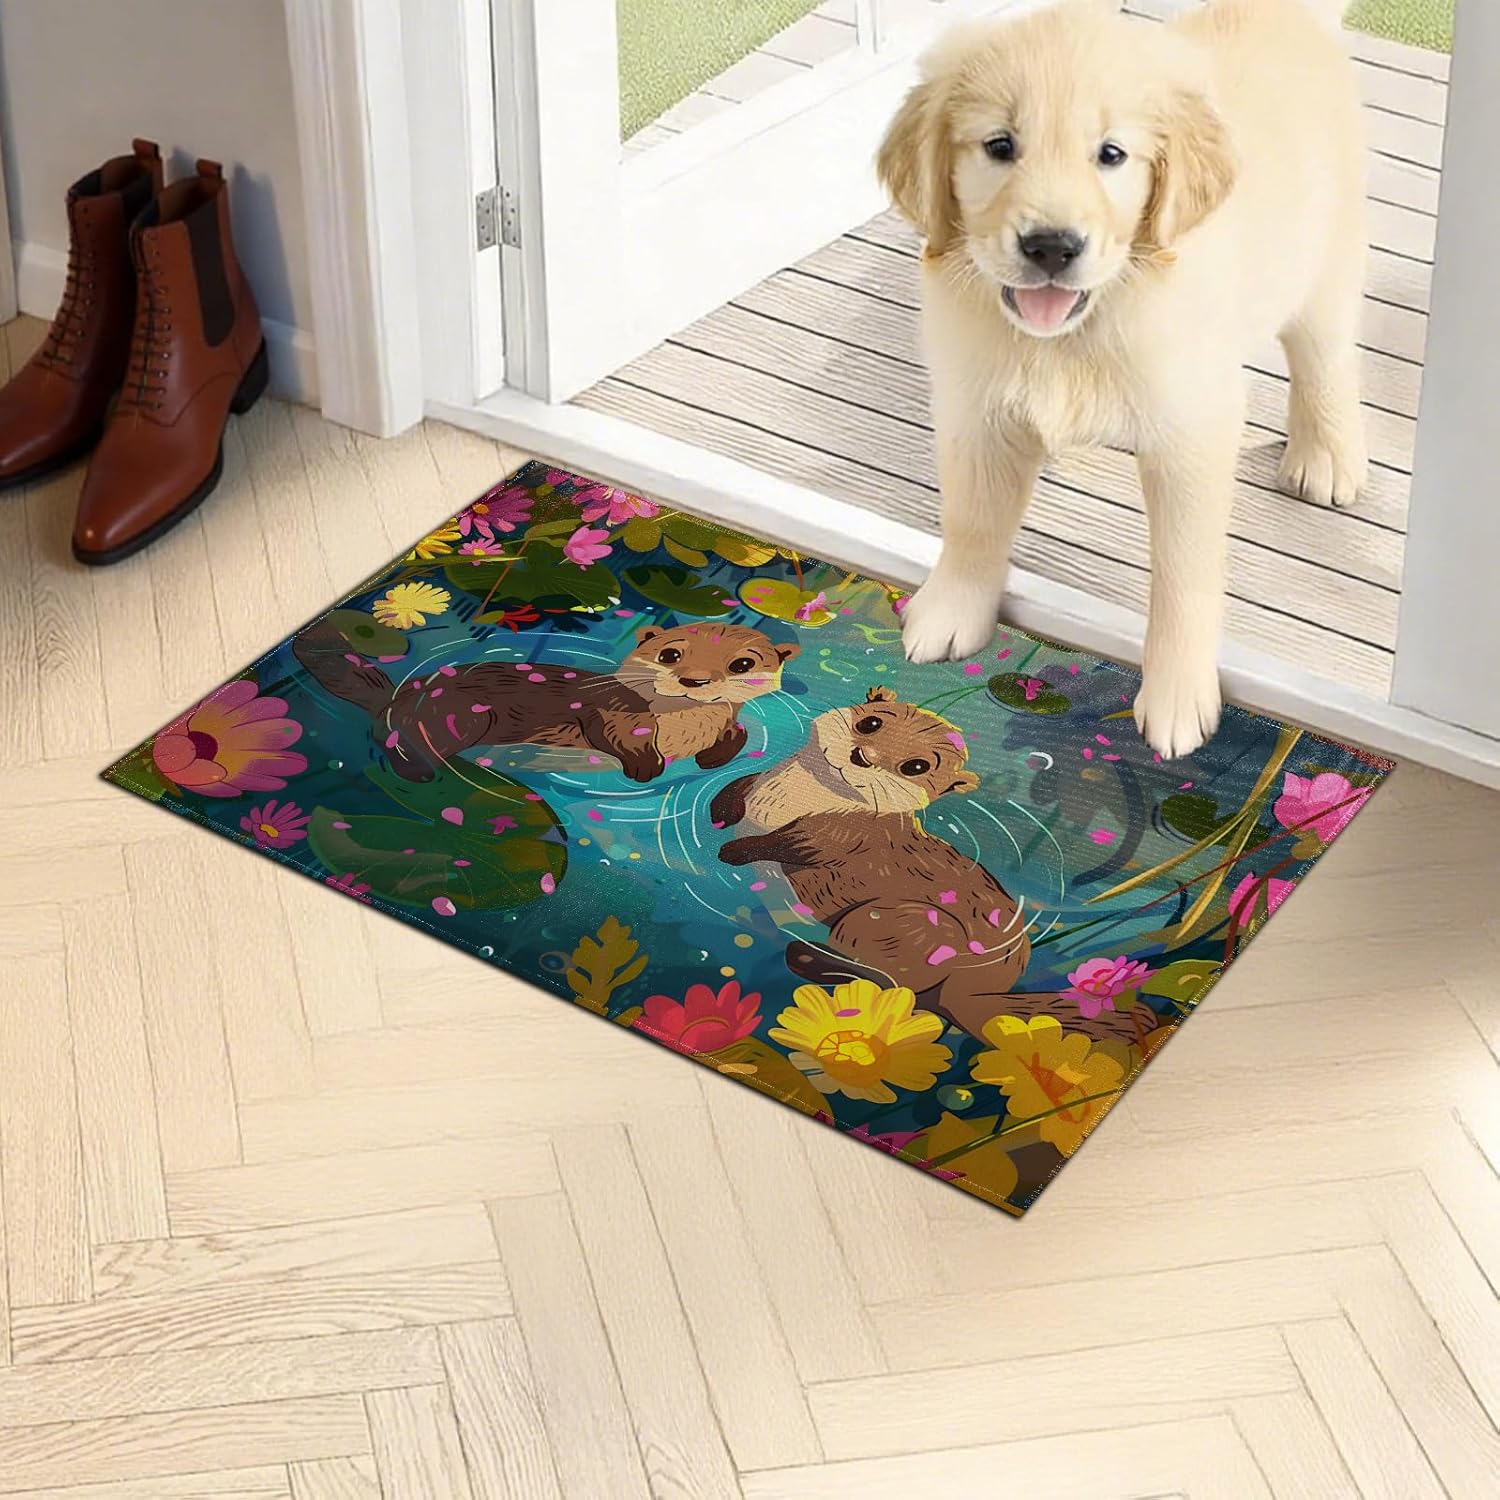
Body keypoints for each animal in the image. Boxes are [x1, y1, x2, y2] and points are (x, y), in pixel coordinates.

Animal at [293, 619, 798, 784]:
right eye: (670, 654)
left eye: (741, 664)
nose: (695, 680)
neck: (686, 725)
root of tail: (396, 698)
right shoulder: (615, 711)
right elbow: (617, 734)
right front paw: (645, 767)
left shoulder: (725, 723)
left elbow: (739, 732)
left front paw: (715, 758)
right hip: (457, 716)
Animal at [714, 688, 1139, 1045]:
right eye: (871, 723)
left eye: (915, 766)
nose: (862, 757)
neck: (794, 797)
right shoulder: (761, 782)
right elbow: (740, 785)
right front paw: (721, 811)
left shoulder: (837, 835)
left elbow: (792, 844)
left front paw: (734, 850)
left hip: (890, 922)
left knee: (896, 986)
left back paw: (810, 954)